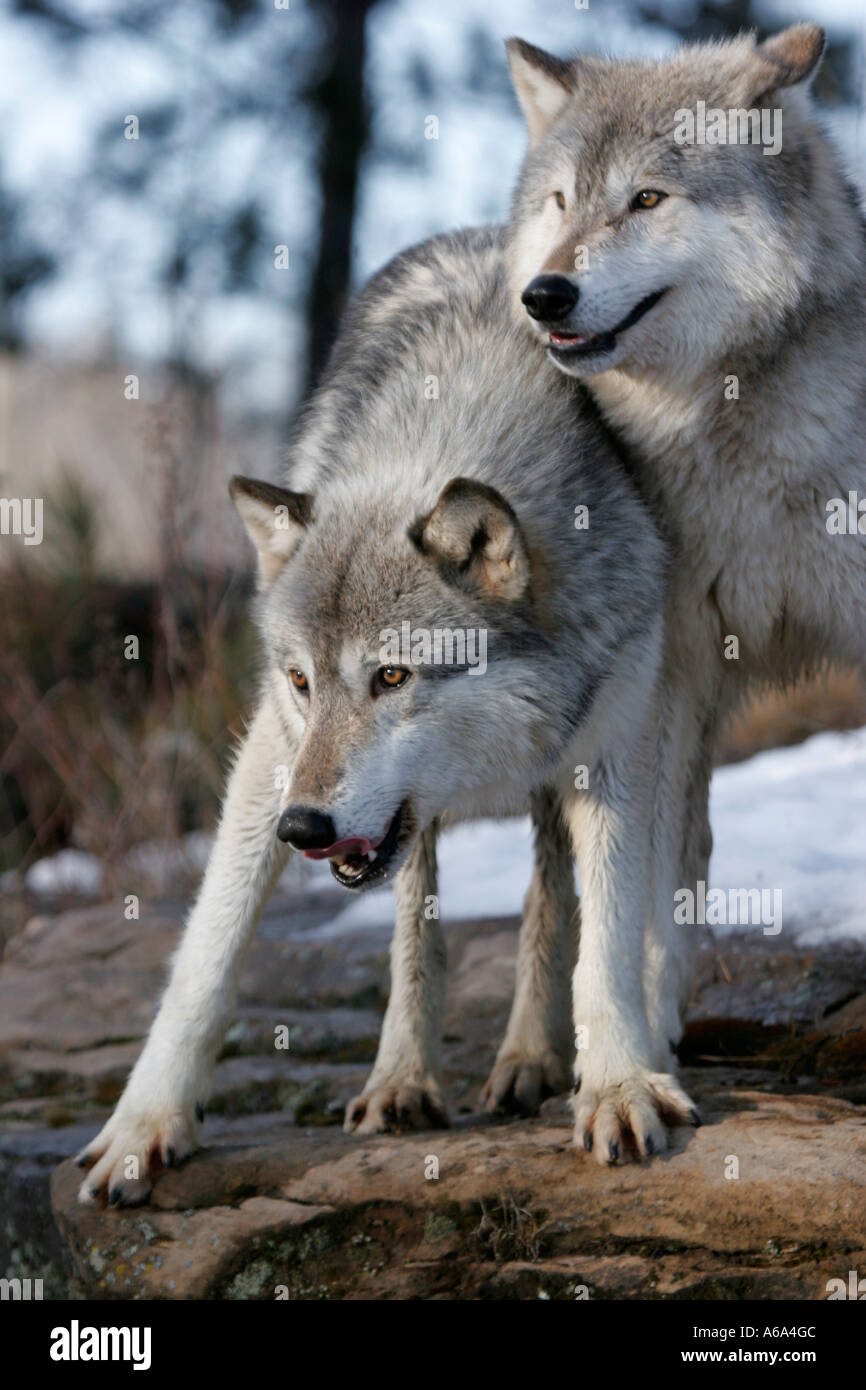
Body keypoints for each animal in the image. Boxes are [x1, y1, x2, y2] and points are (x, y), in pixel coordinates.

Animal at [76, 227, 694, 1205]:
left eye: (393, 675)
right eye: (301, 682)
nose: (302, 828)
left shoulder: (613, 750)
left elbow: (606, 941)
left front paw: (619, 1088)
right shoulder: (272, 756)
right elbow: (207, 953)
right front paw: (143, 1126)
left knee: (545, 897)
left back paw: (527, 1058)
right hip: (395, 821)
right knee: (415, 926)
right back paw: (402, 1078)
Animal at [506, 22, 866, 1141]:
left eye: (648, 199)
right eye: (561, 202)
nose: (544, 294)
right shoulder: (657, 682)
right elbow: (629, 893)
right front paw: (623, 1078)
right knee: (578, 885)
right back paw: (530, 1059)